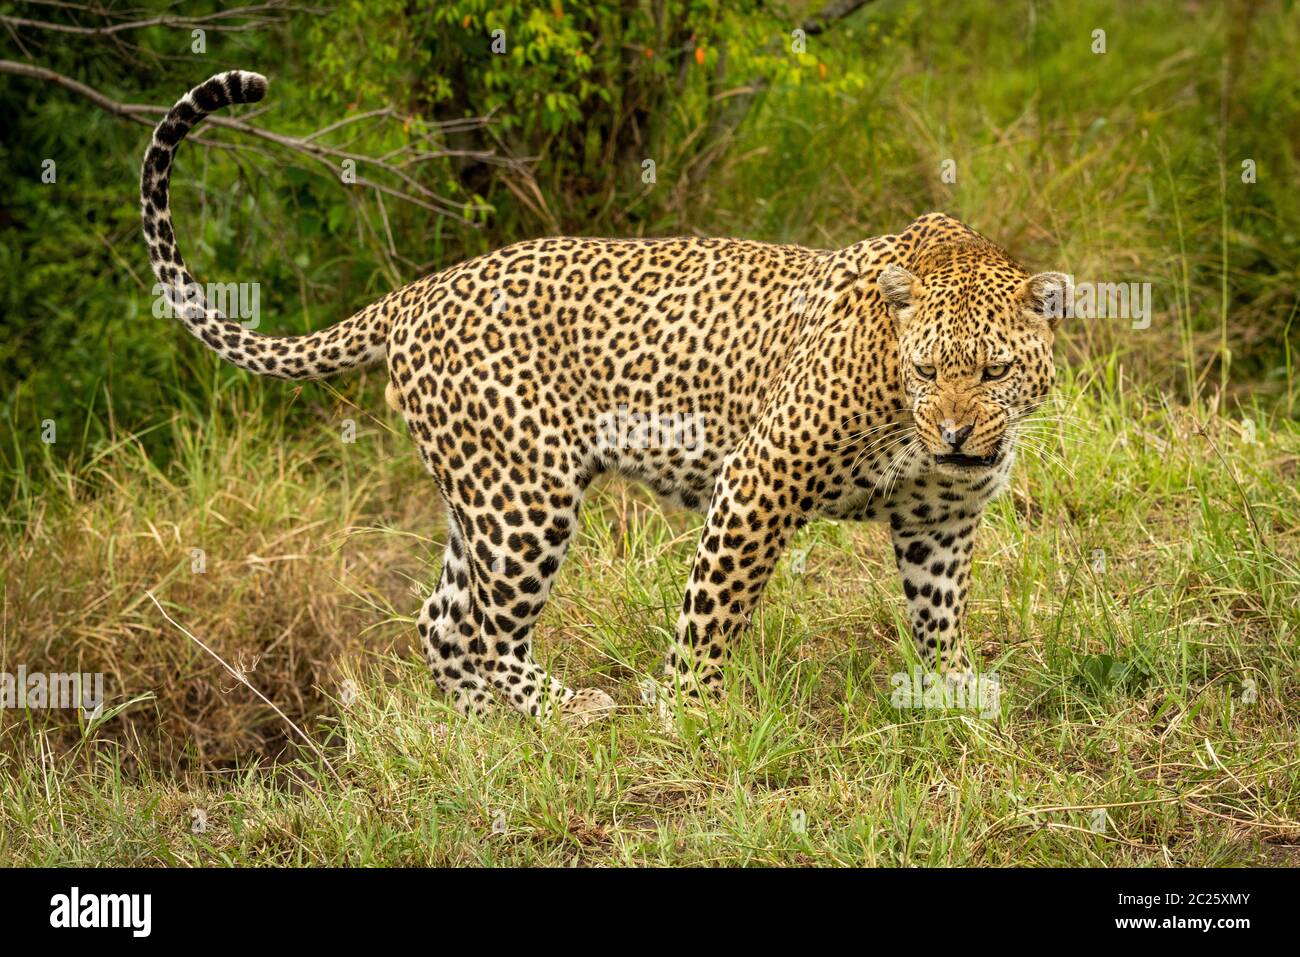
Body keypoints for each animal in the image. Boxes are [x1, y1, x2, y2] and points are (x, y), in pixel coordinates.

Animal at [139, 71, 1070, 727]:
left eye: (992, 372)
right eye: (928, 372)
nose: (955, 434)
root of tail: (413, 295)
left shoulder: (941, 517)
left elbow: (938, 610)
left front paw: (953, 691)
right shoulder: (759, 480)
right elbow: (715, 605)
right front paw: (689, 710)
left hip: (480, 495)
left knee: (442, 618)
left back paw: (491, 730)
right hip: (526, 496)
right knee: (486, 626)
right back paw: (566, 711)